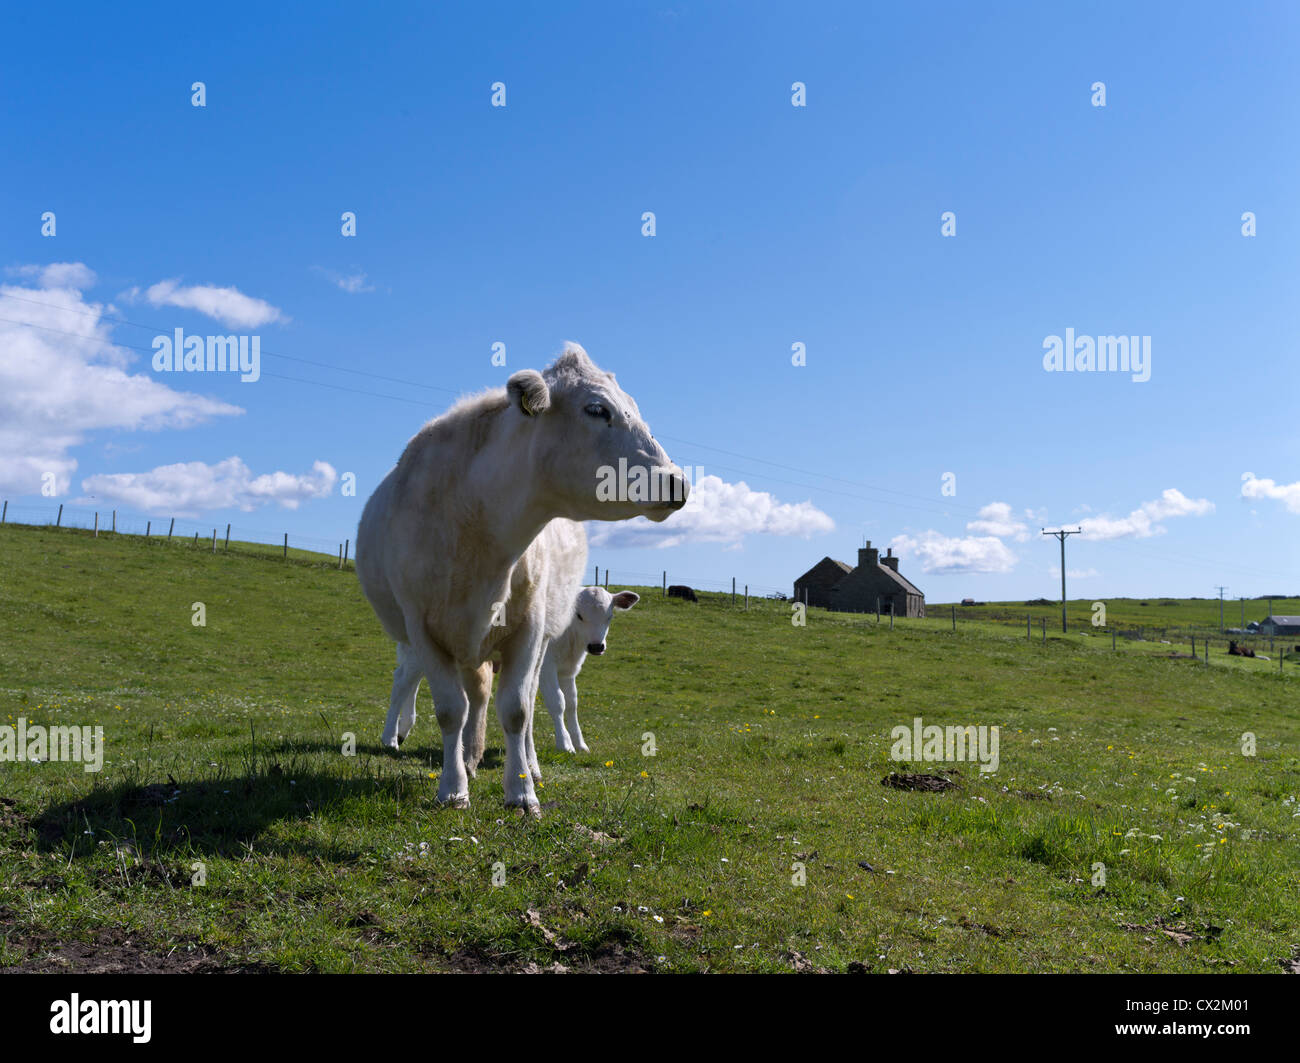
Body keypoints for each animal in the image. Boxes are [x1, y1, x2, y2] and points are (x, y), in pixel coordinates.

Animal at [355, 343, 688, 814]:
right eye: (596, 409)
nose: (677, 481)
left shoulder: (528, 631)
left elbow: (516, 710)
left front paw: (522, 791)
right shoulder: (423, 628)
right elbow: (450, 710)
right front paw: (453, 788)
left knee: (515, 701)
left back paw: (520, 763)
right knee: (444, 690)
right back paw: (440, 750)